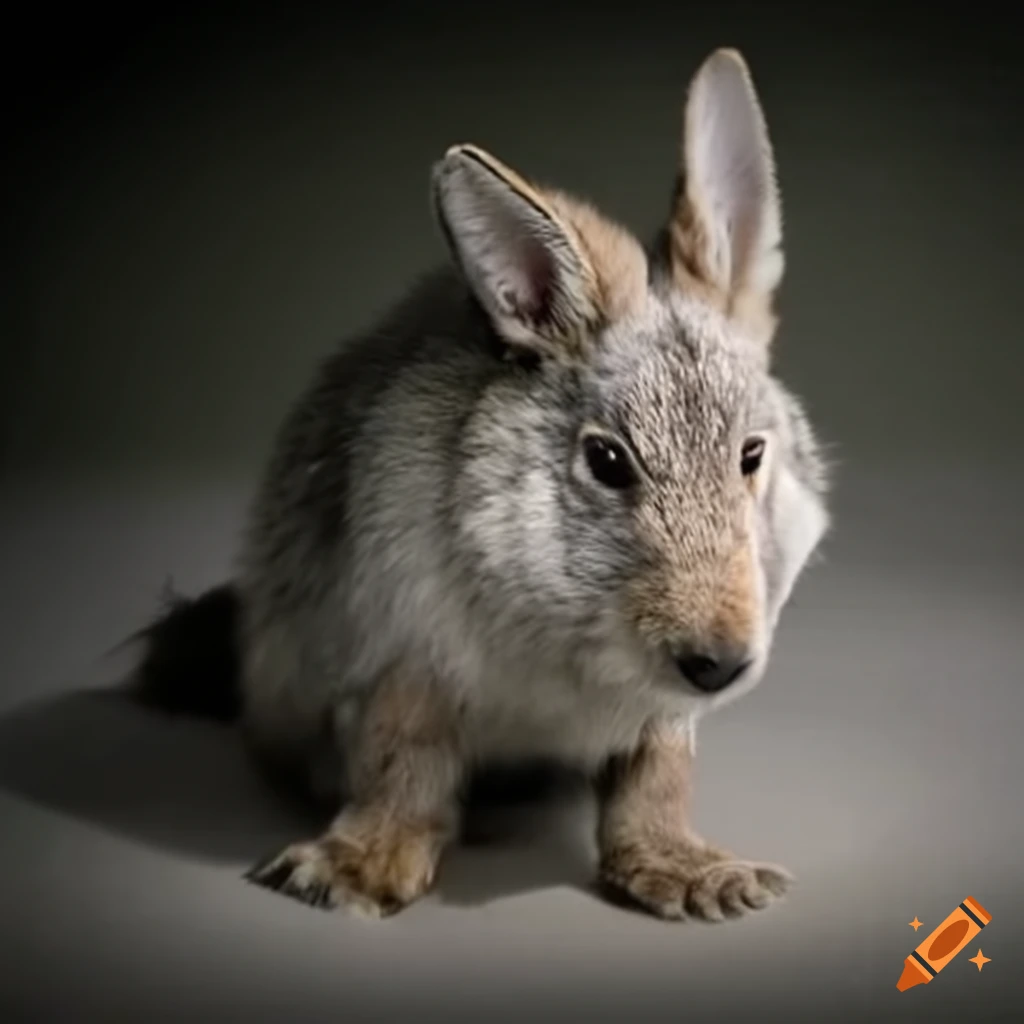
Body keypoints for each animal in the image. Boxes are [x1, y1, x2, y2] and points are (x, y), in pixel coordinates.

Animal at [132, 46, 830, 922]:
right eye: (607, 461)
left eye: (751, 455)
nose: (720, 662)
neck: (577, 635)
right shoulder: (405, 655)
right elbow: (403, 765)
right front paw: (351, 870)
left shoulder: (662, 720)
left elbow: (656, 780)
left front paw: (696, 875)